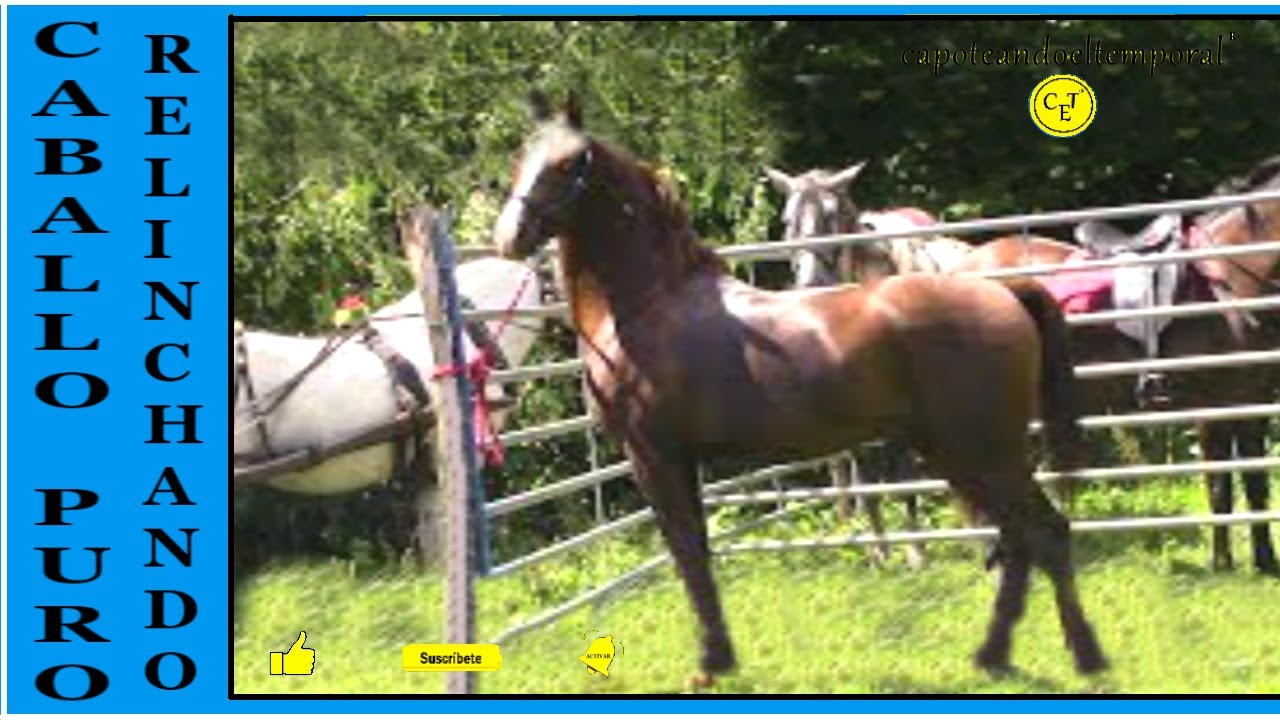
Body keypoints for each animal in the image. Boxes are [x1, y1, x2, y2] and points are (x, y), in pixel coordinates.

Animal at [494, 92, 1107, 683]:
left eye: (569, 163)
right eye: (522, 156)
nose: (509, 237)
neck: (652, 303)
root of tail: (1004, 292)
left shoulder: (655, 457)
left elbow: (689, 557)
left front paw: (711, 665)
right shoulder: (680, 461)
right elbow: (700, 554)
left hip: (983, 452)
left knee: (1047, 534)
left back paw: (1083, 657)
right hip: (962, 454)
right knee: (1022, 539)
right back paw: (994, 657)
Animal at [956, 160, 1280, 575]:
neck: (1230, 275)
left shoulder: (1251, 401)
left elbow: (1248, 485)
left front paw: (1256, 561)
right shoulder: (1220, 405)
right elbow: (1226, 485)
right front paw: (1230, 562)